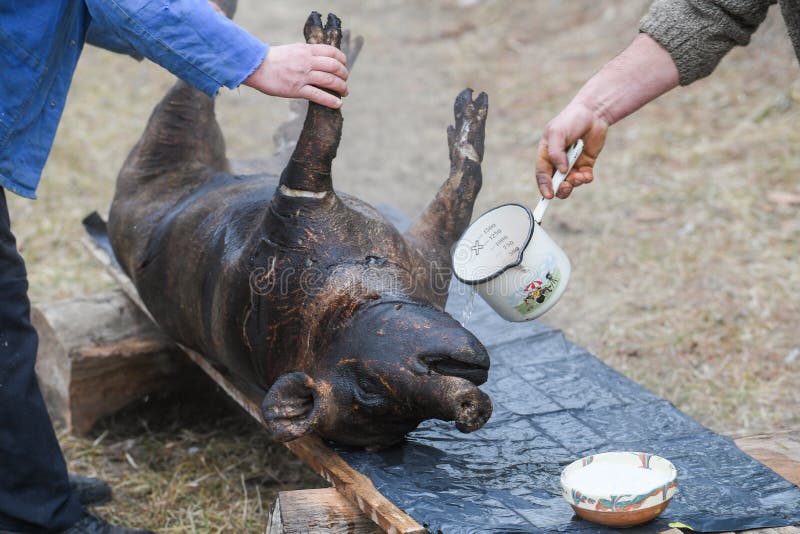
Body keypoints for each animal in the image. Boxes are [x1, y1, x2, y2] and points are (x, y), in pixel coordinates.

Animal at [108, 10, 491, 448]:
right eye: (372, 391)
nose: (470, 407)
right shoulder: (303, 198)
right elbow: (321, 141)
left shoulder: (426, 261)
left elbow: (460, 191)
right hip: (170, 135)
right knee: (195, 85)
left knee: (266, 120)